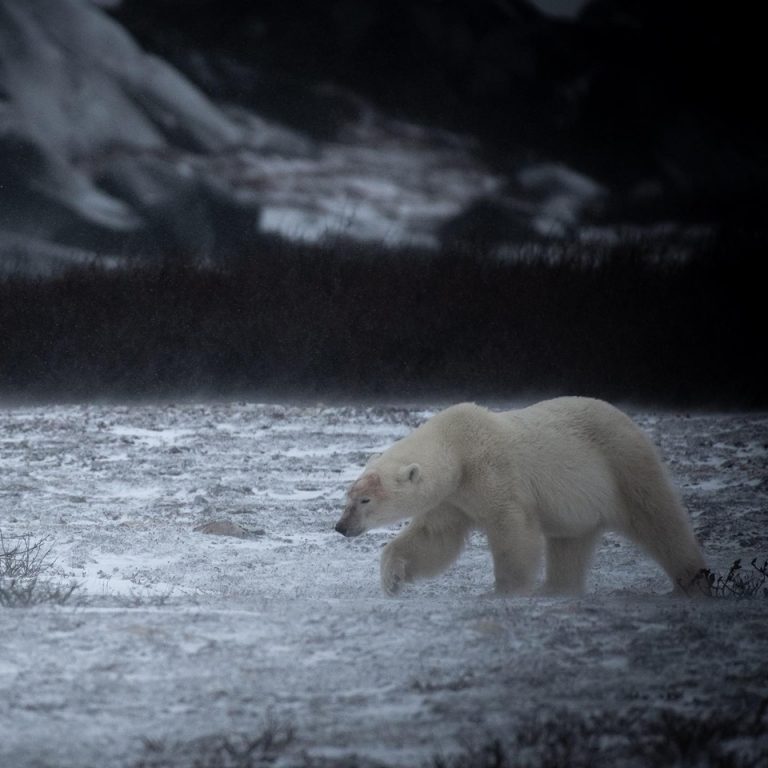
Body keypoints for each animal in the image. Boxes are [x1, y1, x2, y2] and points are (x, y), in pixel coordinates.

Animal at [334, 397, 708, 597]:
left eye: (365, 501)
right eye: (349, 496)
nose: (341, 527)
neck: (457, 447)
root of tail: (626, 418)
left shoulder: (494, 472)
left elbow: (511, 528)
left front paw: (505, 590)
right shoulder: (452, 497)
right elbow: (434, 537)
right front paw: (392, 578)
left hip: (622, 462)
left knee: (657, 517)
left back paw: (690, 580)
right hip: (578, 506)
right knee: (569, 544)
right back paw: (555, 589)